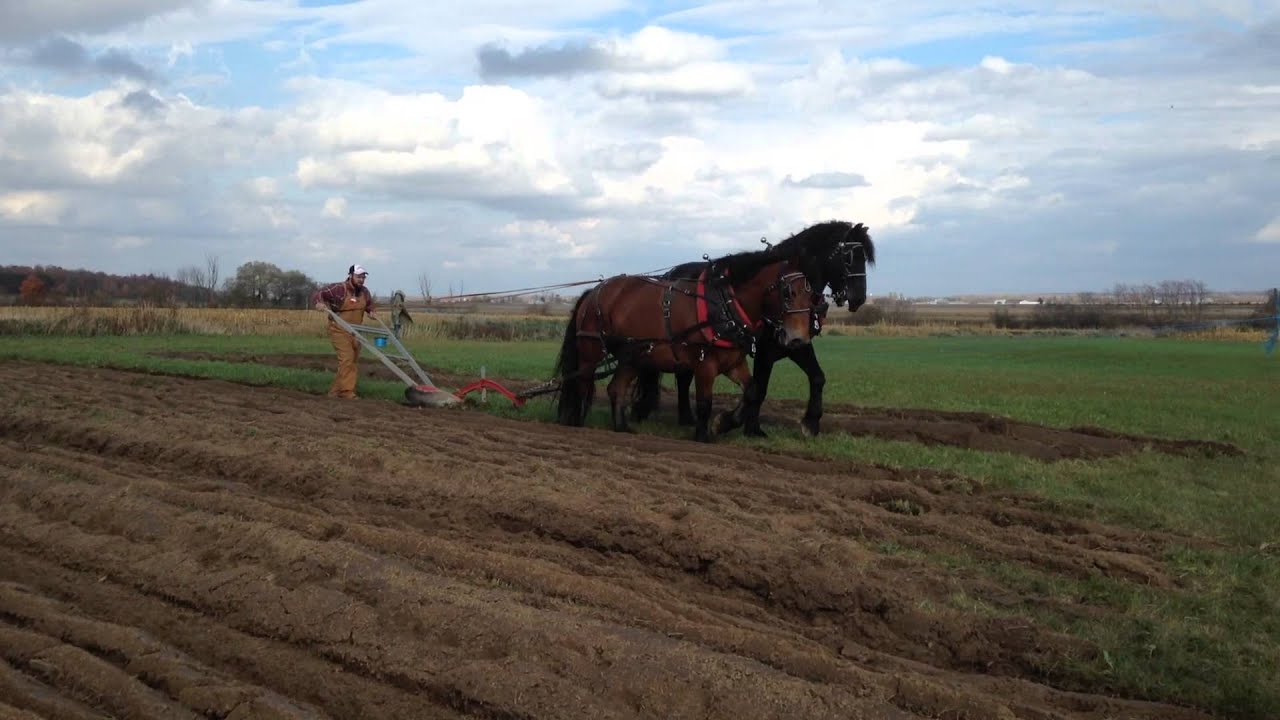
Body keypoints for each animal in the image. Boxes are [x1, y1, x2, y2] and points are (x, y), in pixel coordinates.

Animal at [551, 246, 819, 443]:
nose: (798, 338)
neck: (724, 304)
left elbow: (752, 390)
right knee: (582, 384)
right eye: (789, 292)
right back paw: (578, 424)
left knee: (616, 388)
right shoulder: (705, 363)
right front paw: (702, 435)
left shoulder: (733, 362)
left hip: (633, 355)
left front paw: (723, 424)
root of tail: (594, 290)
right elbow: (704, 401)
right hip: (590, 351)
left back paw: (622, 427)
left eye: (811, 294)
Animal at [629, 220, 875, 437]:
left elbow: (817, 377)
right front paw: (742, 425)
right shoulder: (765, 351)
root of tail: (669, 274)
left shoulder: (795, 344)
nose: (859, 298)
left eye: (865, 258)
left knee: (683, 375)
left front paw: (811, 423)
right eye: (850, 257)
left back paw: (685, 418)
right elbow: (760, 388)